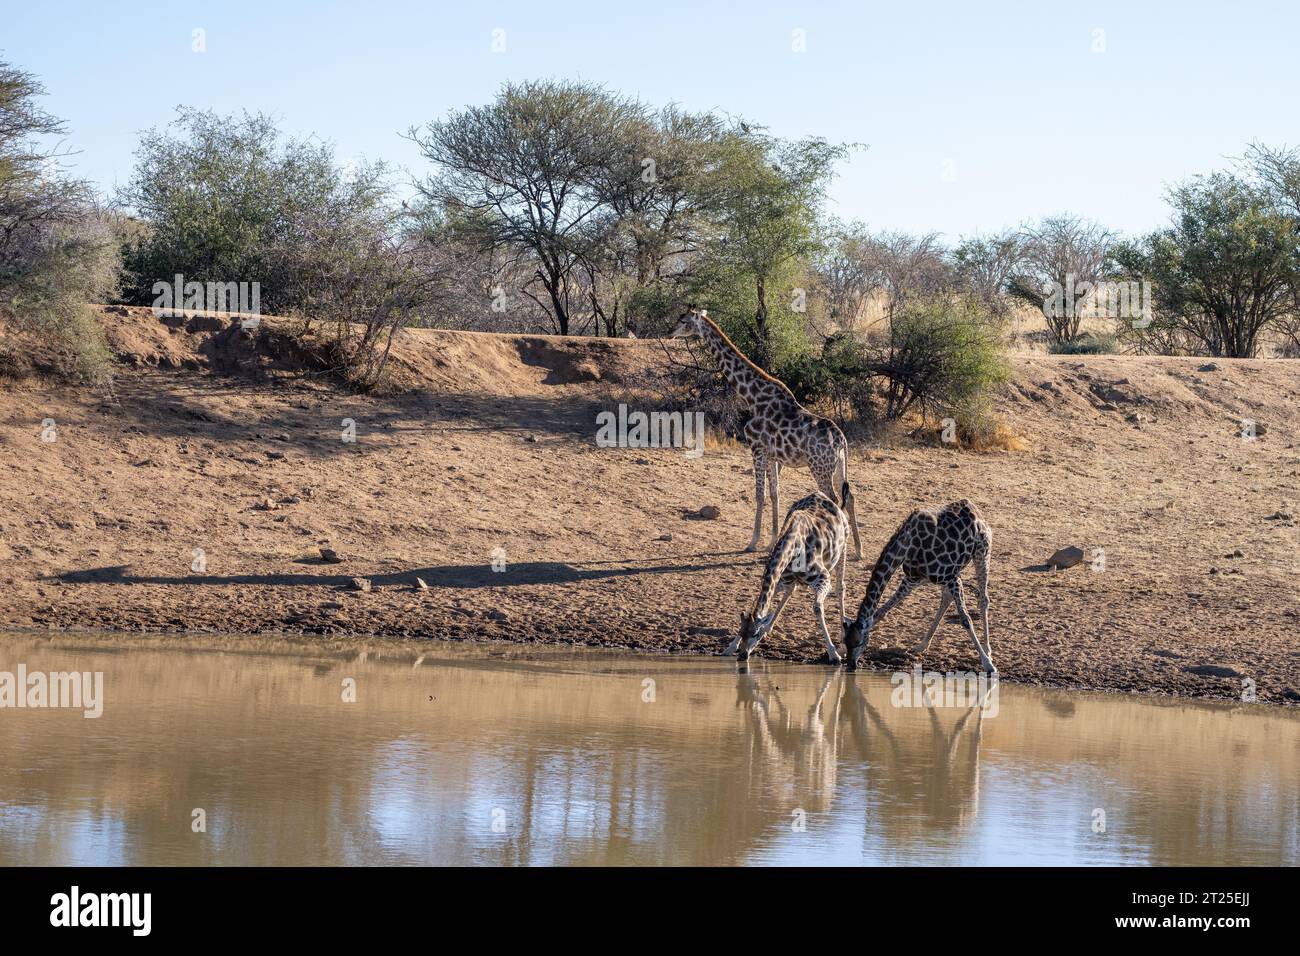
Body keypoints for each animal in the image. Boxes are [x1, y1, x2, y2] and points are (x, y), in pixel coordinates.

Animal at [669, 306, 863, 558]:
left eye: (684, 321)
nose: (670, 331)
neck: (752, 397)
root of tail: (841, 441)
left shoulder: (757, 449)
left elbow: (759, 495)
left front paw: (752, 542)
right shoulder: (773, 456)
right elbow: (775, 494)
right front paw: (772, 542)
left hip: (819, 468)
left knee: (835, 501)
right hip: (839, 466)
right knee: (850, 497)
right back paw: (858, 550)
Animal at [723, 487, 851, 664]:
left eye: (754, 633)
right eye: (741, 632)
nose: (742, 655)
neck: (792, 546)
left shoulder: (823, 577)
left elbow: (817, 607)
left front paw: (833, 653)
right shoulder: (782, 579)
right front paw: (730, 647)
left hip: (842, 549)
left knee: (840, 588)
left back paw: (843, 641)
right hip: (792, 579)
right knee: (790, 591)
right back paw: (768, 627)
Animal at [842, 499, 994, 674]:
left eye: (859, 642)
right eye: (846, 641)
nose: (850, 666)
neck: (908, 546)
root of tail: (973, 507)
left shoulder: (951, 577)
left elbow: (966, 620)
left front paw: (988, 664)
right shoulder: (913, 579)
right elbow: (880, 612)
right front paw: (837, 652)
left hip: (982, 553)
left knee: (983, 599)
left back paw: (988, 650)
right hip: (940, 576)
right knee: (947, 598)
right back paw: (923, 645)